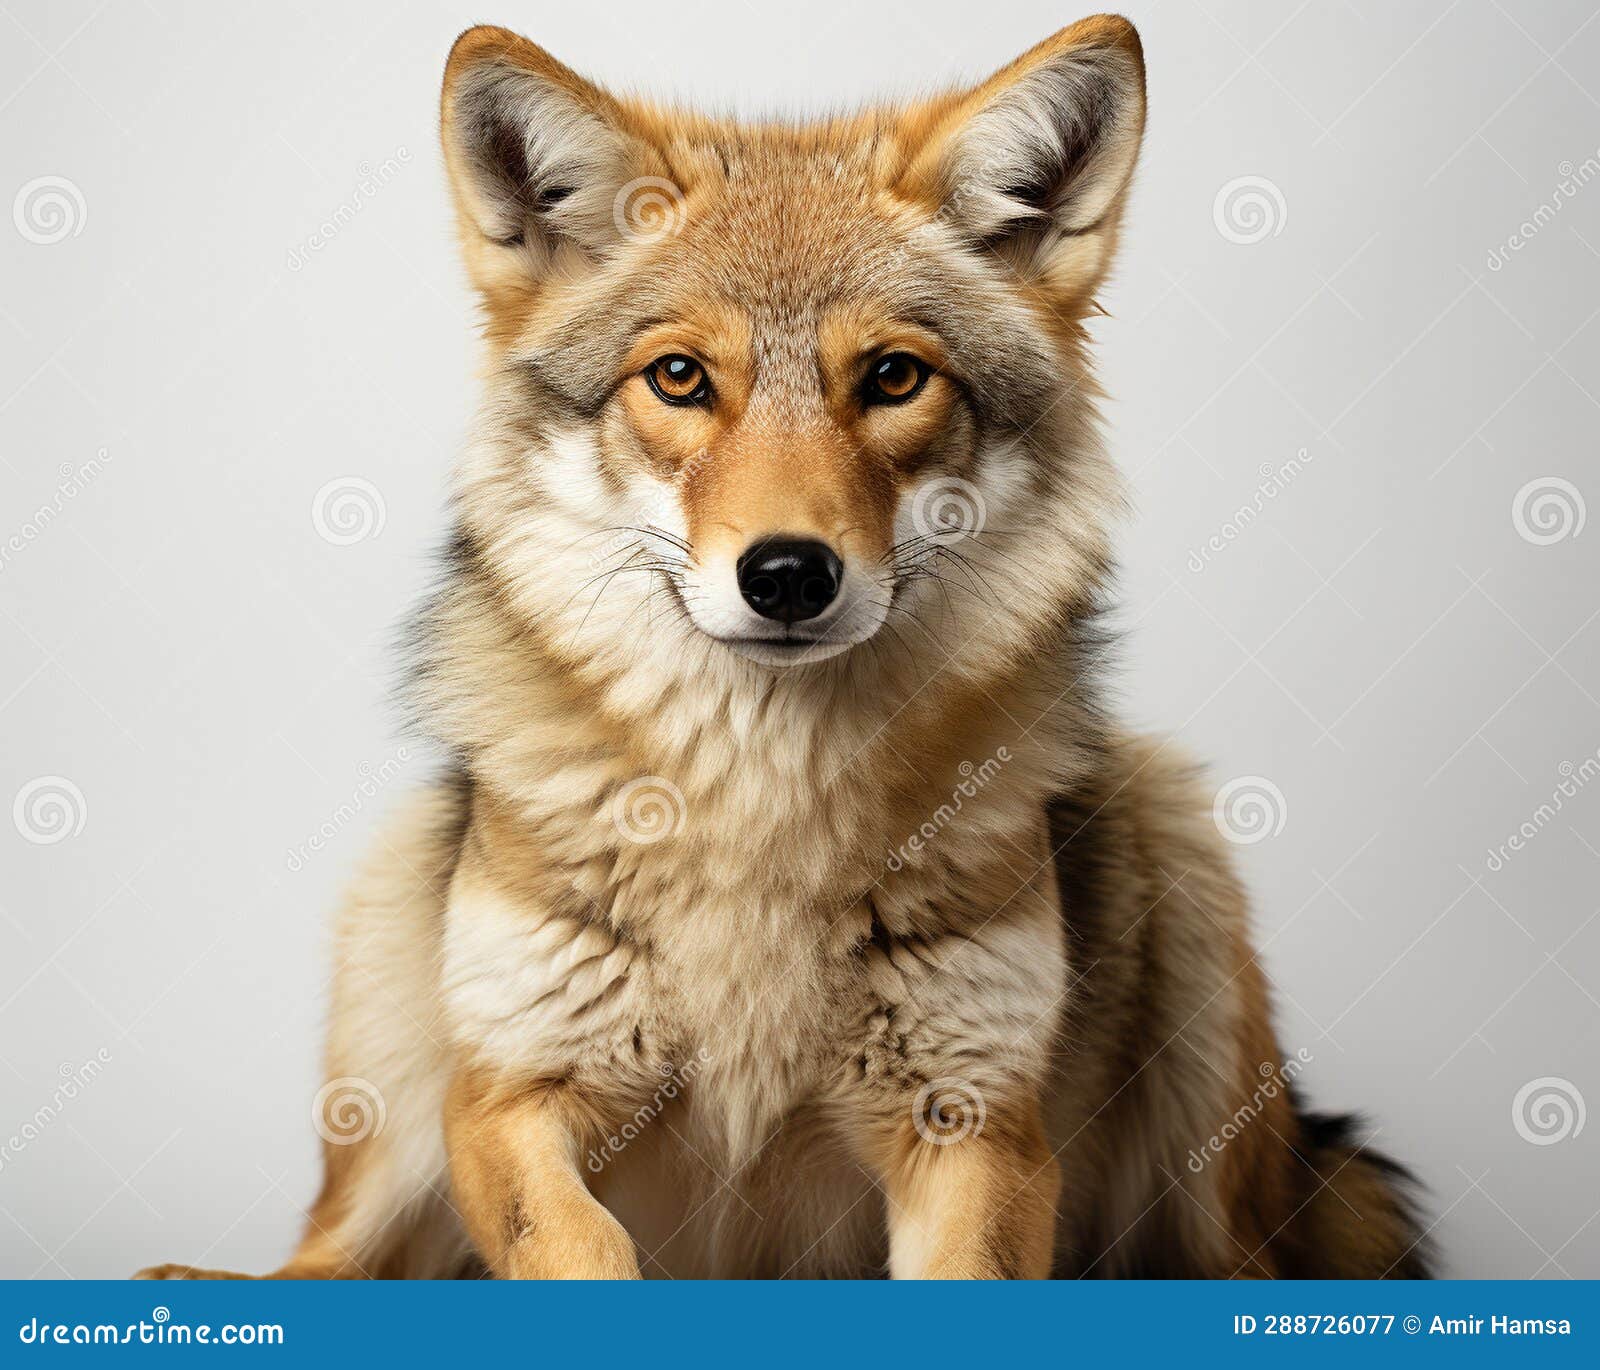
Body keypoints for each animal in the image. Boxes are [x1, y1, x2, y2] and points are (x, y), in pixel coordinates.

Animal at [140, 15, 1430, 1279]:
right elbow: (577, 1245)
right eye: (678, 377)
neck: (761, 803)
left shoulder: (974, 1124)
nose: (788, 574)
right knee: (335, 1251)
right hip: (391, 950)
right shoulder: (510, 1094)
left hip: (1185, 875)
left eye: (894, 376)